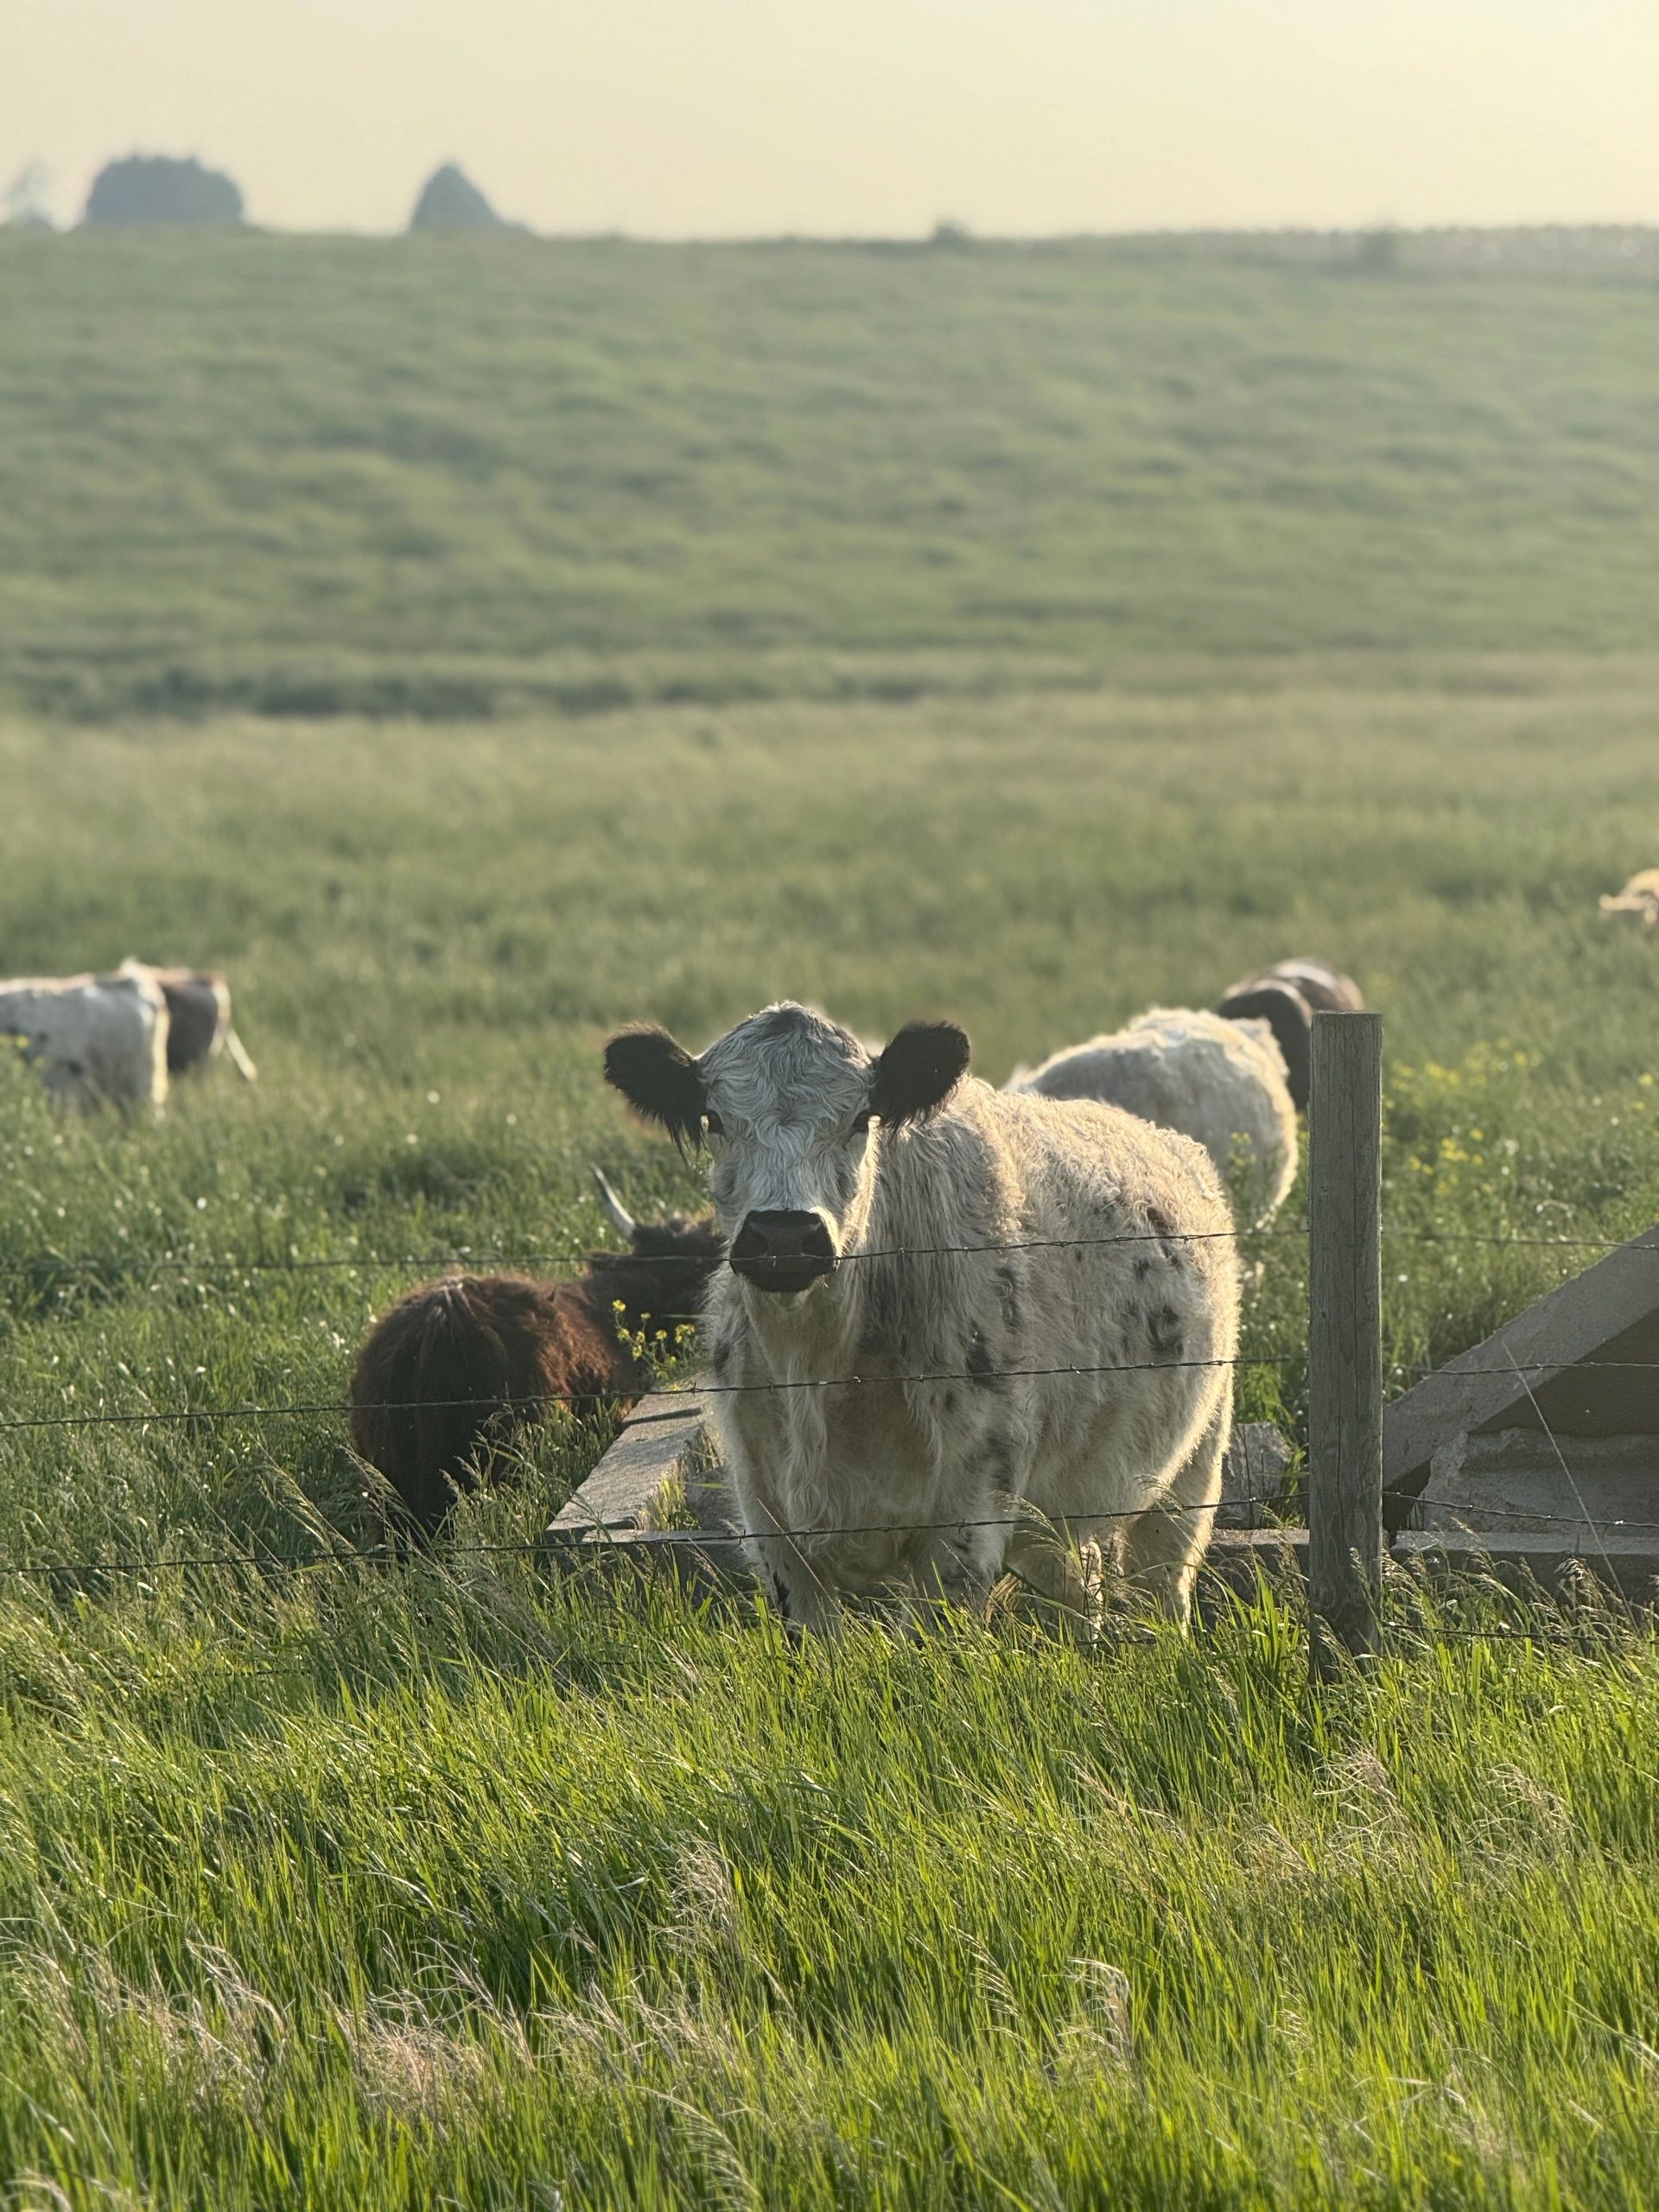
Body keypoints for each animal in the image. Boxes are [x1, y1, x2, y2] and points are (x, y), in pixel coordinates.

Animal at [604, 1002, 1240, 1634]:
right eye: (714, 1119)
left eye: (861, 1118)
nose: (784, 1236)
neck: (817, 1368)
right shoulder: (776, 1531)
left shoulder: (966, 1523)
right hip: (1058, 1513)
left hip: (1190, 1471)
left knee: (1162, 1586)